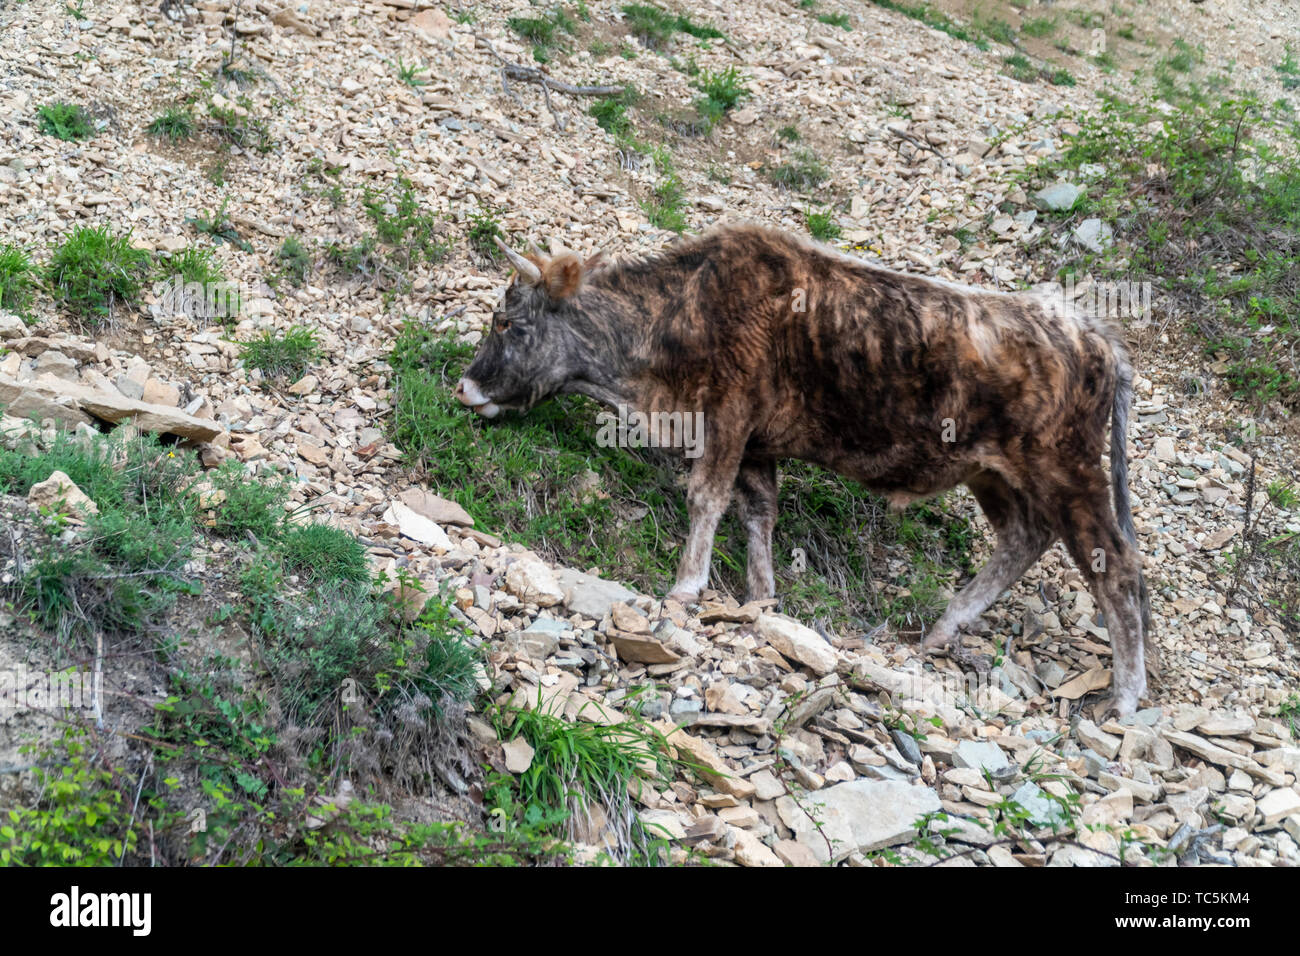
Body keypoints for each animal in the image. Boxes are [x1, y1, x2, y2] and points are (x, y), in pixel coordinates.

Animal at [454, 225, 1154, 715]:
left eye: (507, 321)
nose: (463, 387)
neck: (684, 311)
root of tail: (1096, 335)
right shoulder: (758, 445)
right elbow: (758, 513)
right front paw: (761, 599)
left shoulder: (727, 418)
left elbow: (706, 497)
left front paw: (686, 588)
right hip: (993, 474)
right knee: (1022, 538)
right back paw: (940, 632)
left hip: (1066, 471)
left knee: (1113, 564)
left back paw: (1123, 698)